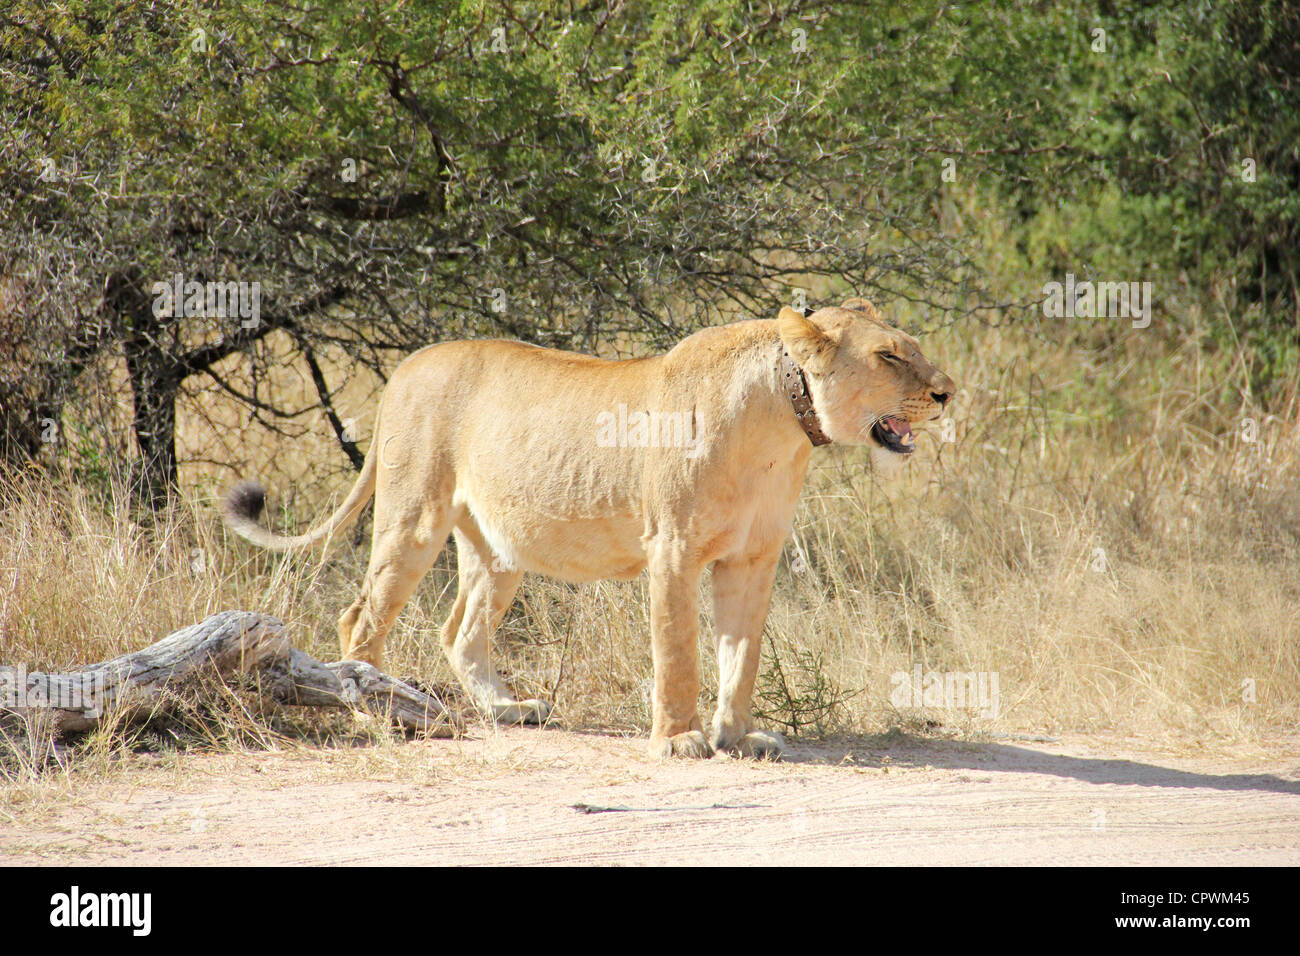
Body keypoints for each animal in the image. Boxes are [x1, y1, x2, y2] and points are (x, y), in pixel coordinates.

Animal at [224, 298, 956, 759]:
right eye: (890, 357)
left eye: (915, 352)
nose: (948, 391)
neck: (783, 424)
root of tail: (406, 364)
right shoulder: (673, 548)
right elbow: (679, 653)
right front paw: (679, 740)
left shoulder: (753, 557)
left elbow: (741, 656)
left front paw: (740, 738)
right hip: (414, 518)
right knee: (360, 619)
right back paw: (371, 711)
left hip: (498, 544)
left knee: (459, 631)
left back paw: (506, 709)